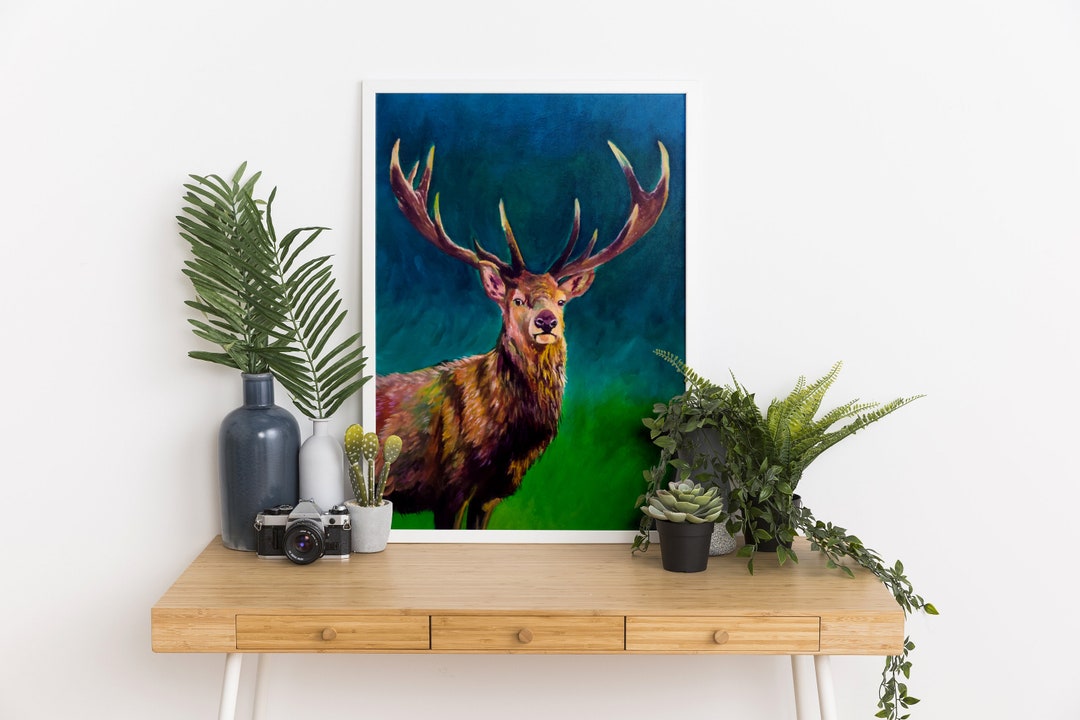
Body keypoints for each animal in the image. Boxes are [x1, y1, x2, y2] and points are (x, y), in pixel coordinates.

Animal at [376, 137, 670, 530]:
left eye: (562, 301)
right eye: (517, 299)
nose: (546, 321)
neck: (508, 442)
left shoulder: (492, 492)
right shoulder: (450, 487)